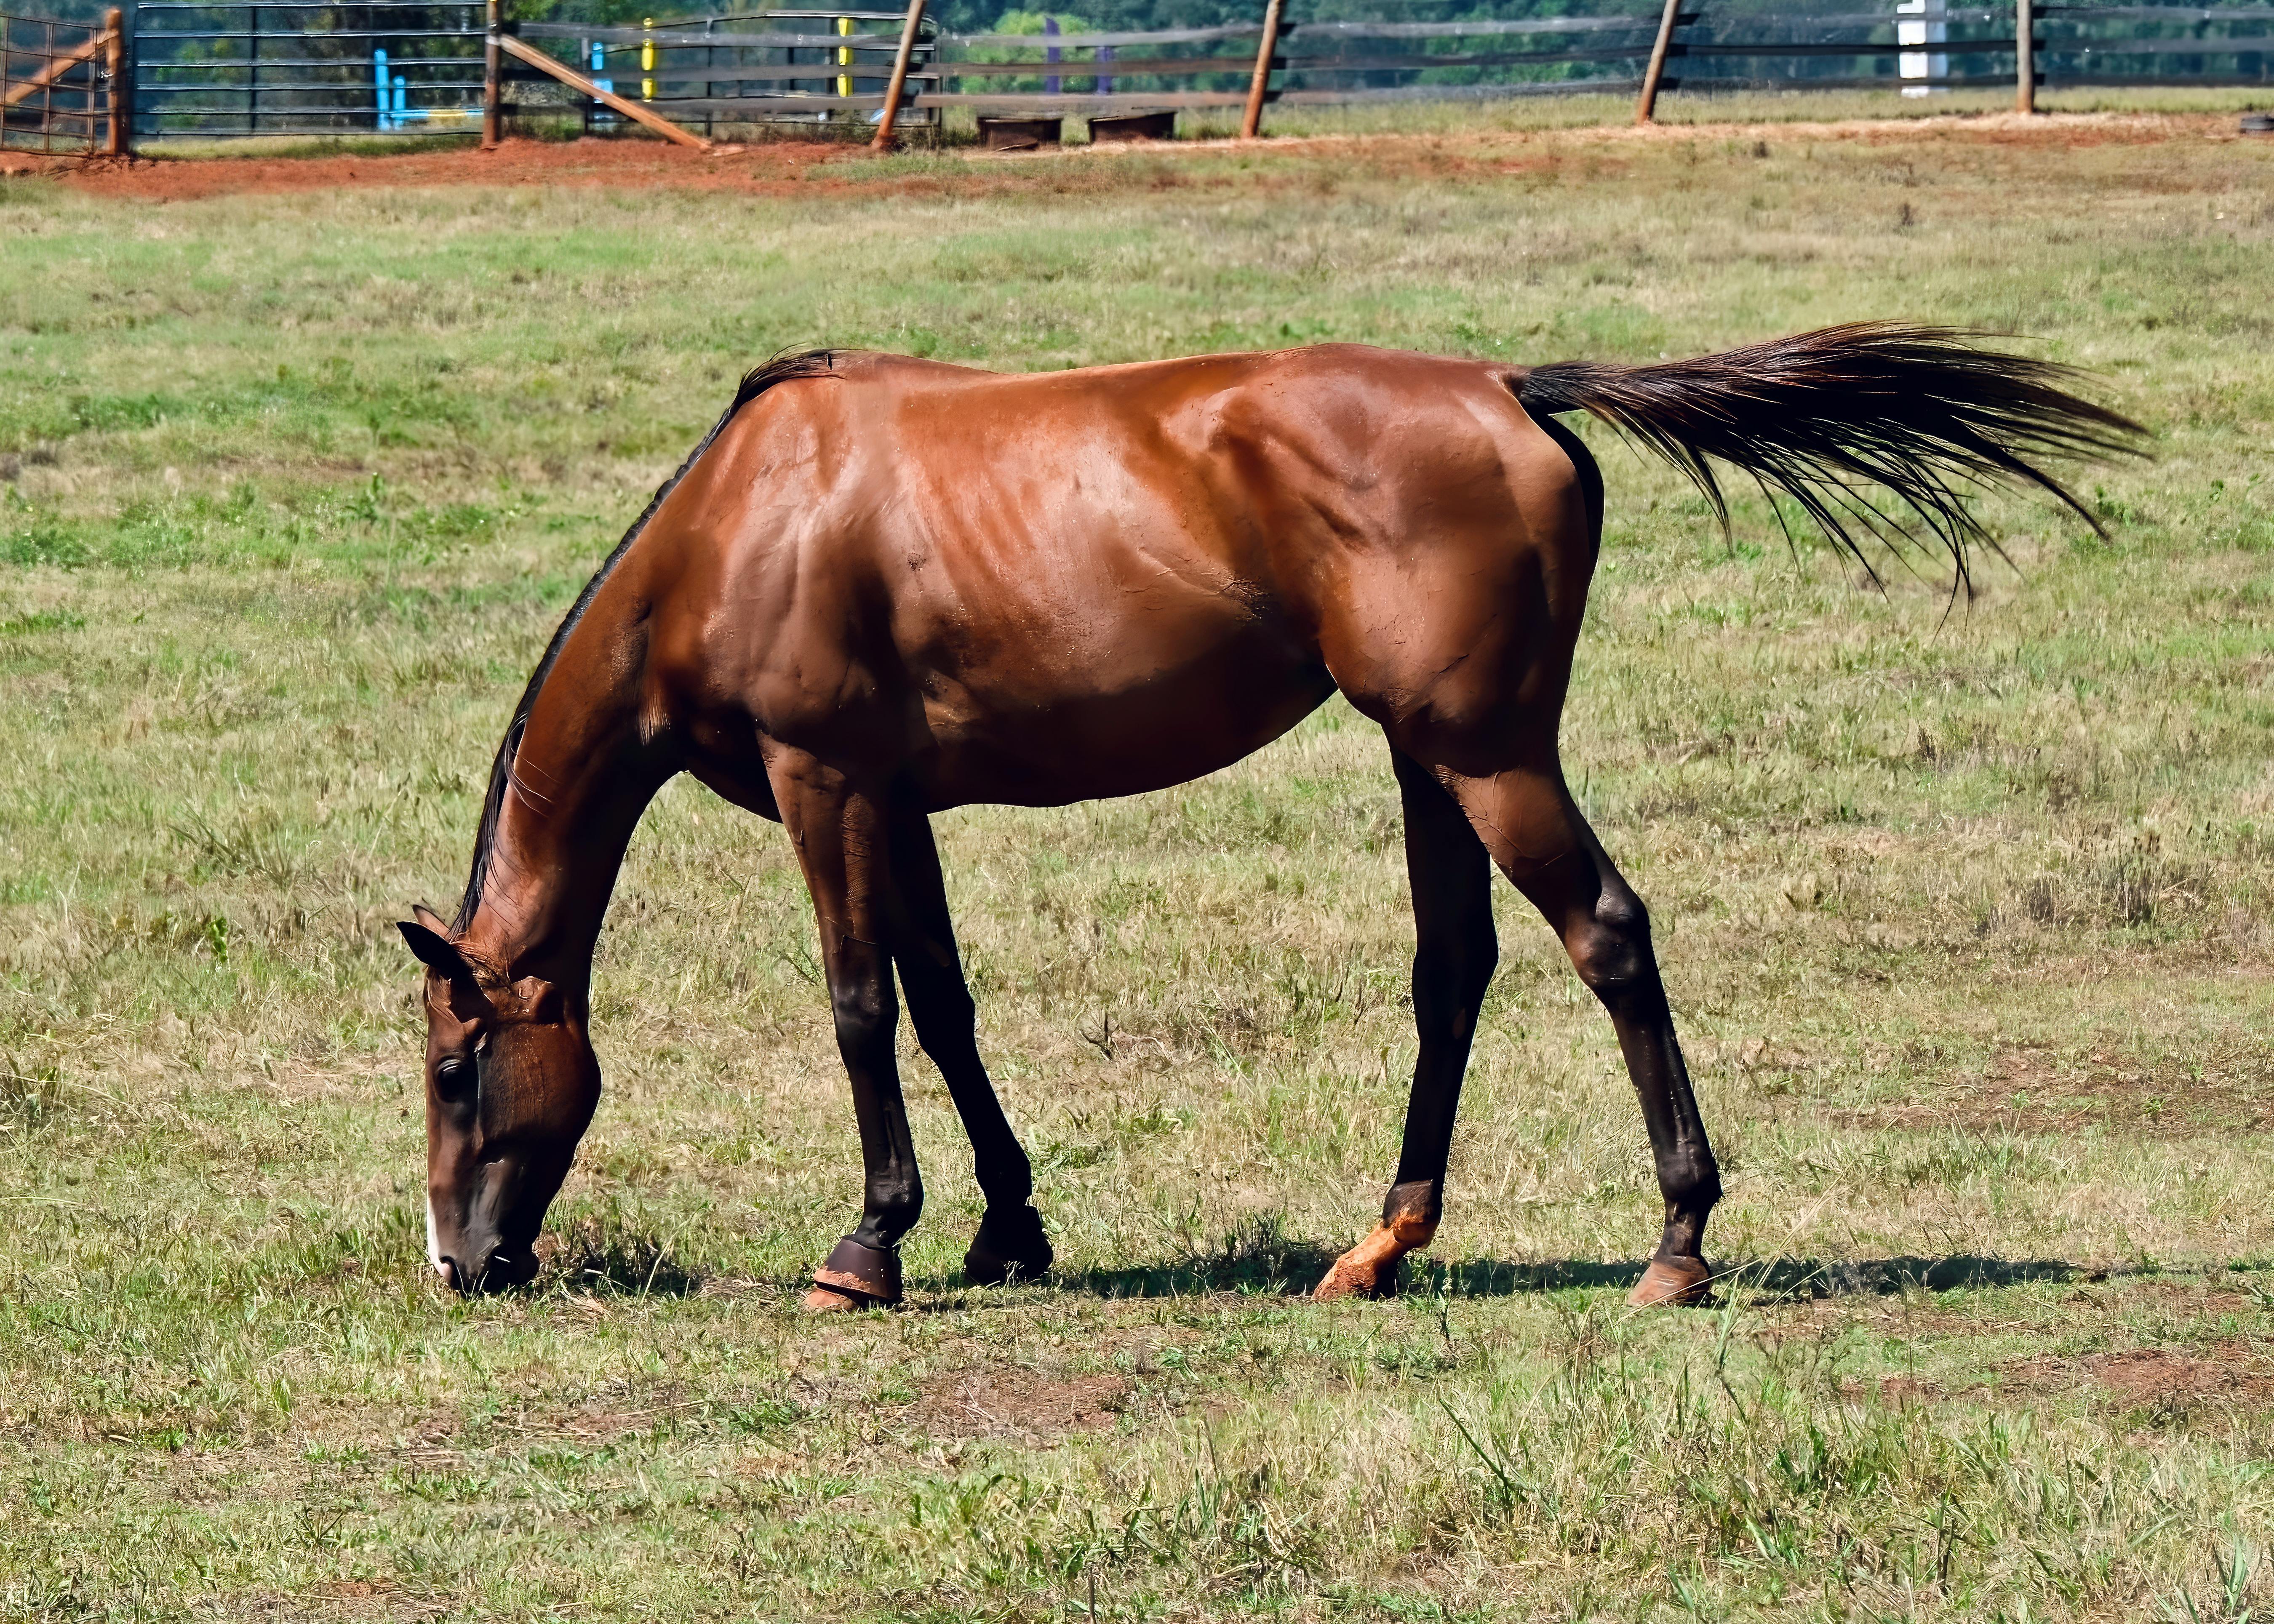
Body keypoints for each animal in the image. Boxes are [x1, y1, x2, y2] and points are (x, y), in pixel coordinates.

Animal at [397, 325, 2140, 1308]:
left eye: (456, 1065)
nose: (463, 1264)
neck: (743, 518)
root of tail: (1506, 386)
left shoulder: (824, 784)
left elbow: (856, 1008)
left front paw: (869, 1247)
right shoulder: (901, 799)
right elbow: (945, 1007)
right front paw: (1005, 1227)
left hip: (1489, 755)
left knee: (1606, 935)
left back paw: (1677, 1242)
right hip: (1429, 757)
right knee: (1454, 972)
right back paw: (1381, 1245)